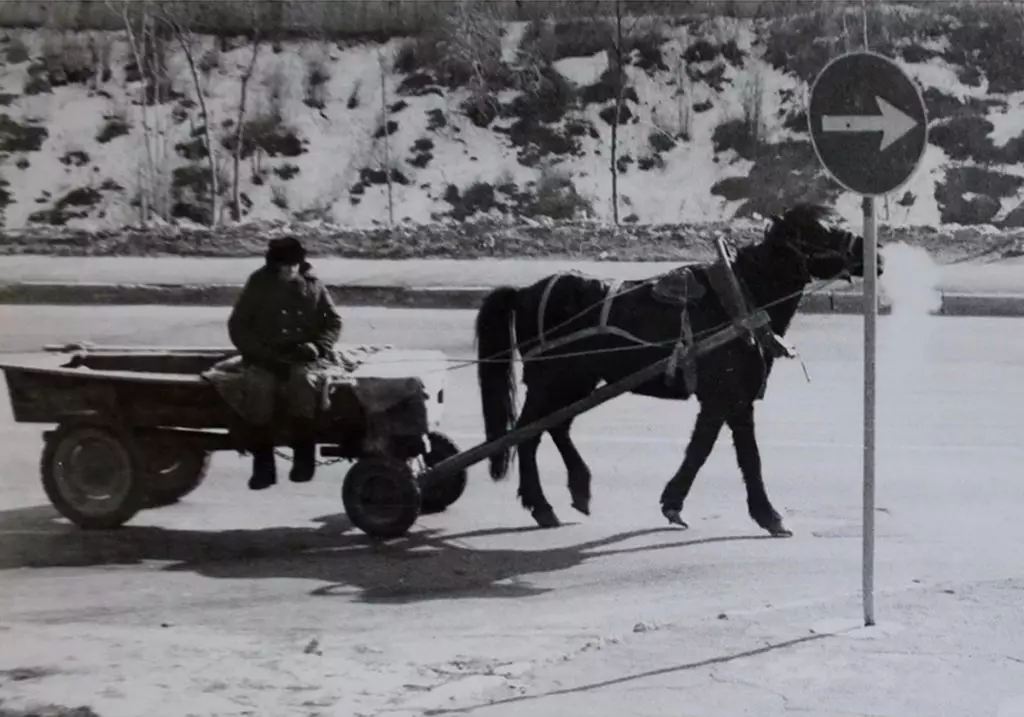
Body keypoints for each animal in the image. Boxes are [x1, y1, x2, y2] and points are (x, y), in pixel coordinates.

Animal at [471, 204, 880, 536]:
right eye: (819, 230)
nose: (874, 254)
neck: (738, 299)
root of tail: (525, 292)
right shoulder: (730, 396)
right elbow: (742, 455)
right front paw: (768, 516)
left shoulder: (725, 400)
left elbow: (704, 447)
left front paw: (674, 502)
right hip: (551, 380)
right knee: (527, 433)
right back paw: (541, 505)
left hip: (576, 381)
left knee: (555, 427)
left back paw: (579, 488)